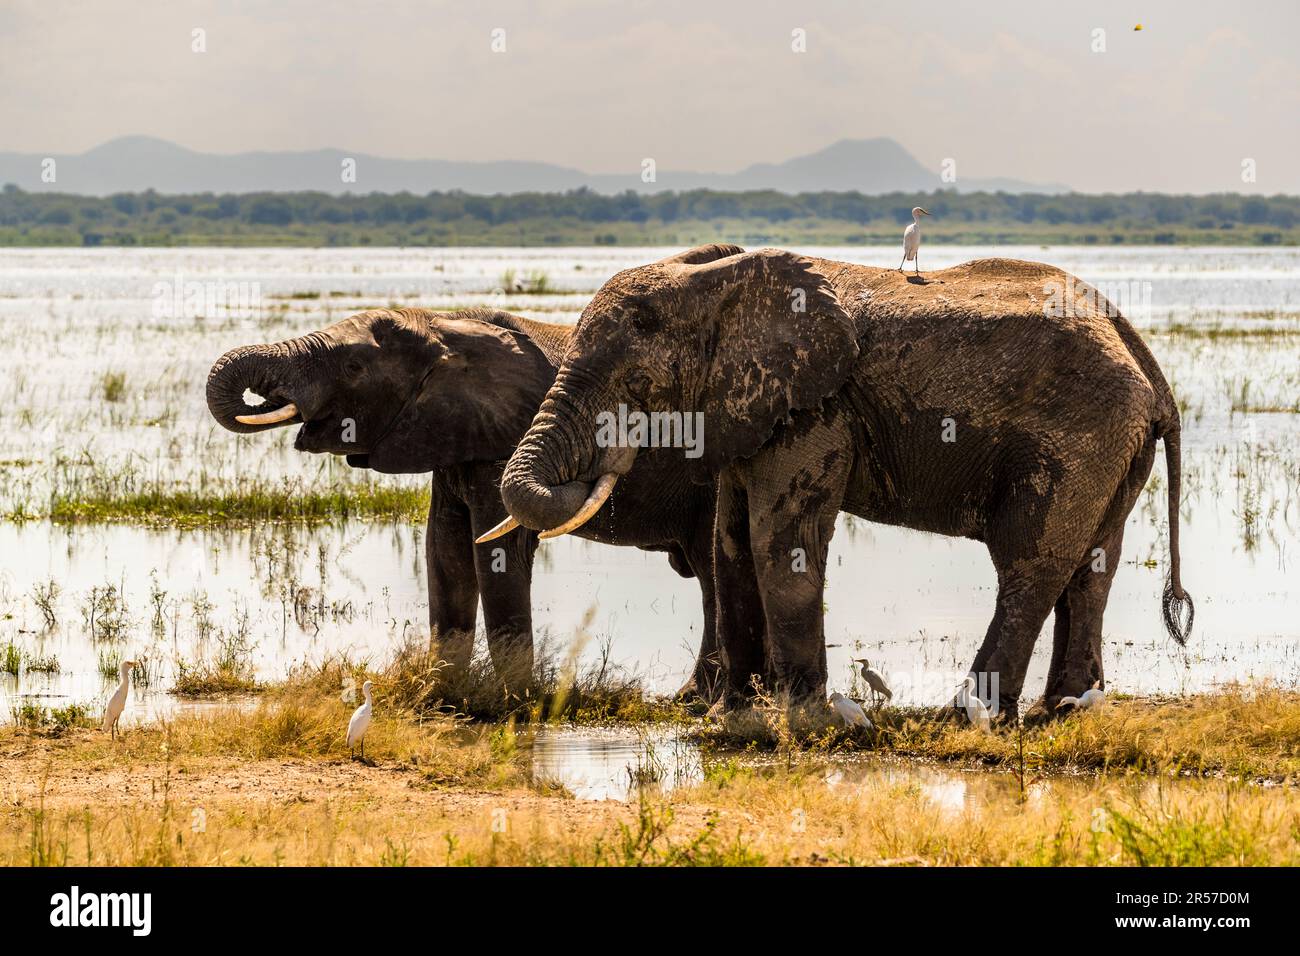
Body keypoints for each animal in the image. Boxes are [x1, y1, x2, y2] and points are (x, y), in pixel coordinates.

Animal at [204, 250, 745, 700]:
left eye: (354, 367)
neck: (441, 326)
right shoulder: (452, 437)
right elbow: (443, 551)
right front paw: (441, 694)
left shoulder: (500, 438)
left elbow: (496, 553)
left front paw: (510, 702)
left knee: (710, 577)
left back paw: (694, 701)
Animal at [496, 249, 1193, 720]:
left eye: (634, 380)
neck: (718, 283)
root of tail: (1143, 358)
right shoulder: (756, 411)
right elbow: (732, 543)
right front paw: (735, 717)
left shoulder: (818, 409)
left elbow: (781, 540)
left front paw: (804, 720)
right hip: (1115, 446)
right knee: (1092, 566)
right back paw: (1060, 710)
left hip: (1078, 438)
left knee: (1031, 561)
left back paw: (970, 719)